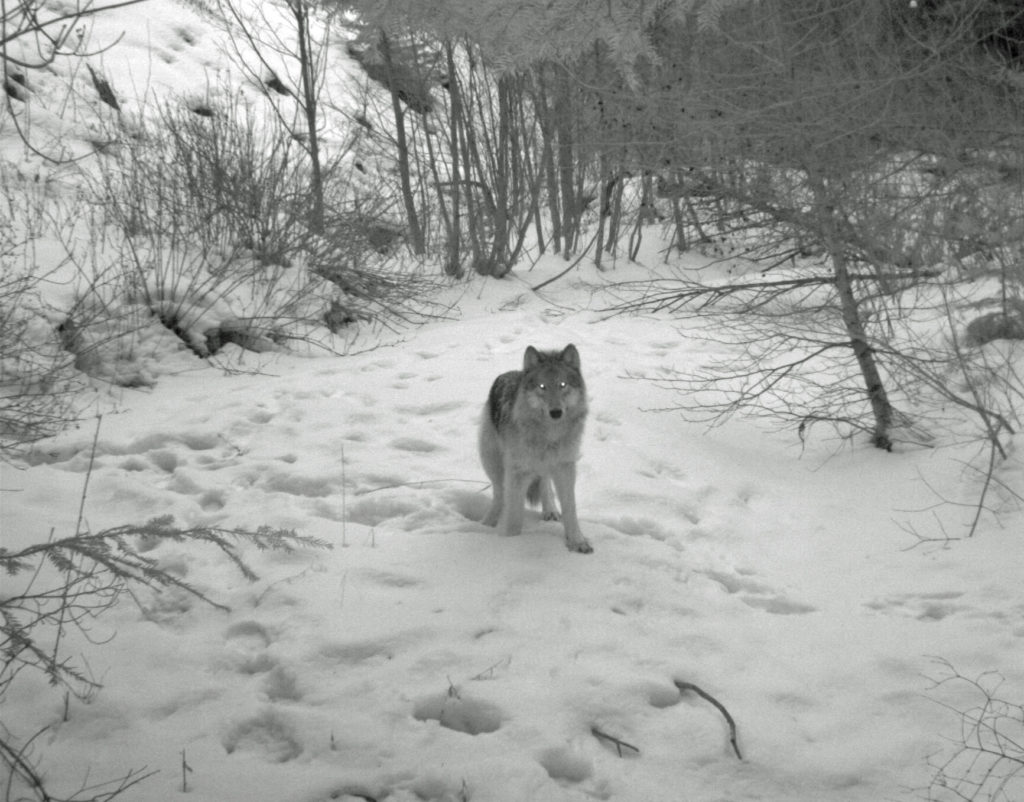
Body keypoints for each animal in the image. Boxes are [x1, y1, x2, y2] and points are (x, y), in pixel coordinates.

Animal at [478, 344, 592, 554]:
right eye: (542, 387)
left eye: (563, 385)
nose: (556, 412)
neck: (548, 436)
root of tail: (509, 373)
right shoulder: (518, 473)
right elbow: (514, 517)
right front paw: (510, 543)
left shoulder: (565, 468)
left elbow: (570, 510)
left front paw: (577, 542)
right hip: (493, 464)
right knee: (499, 494)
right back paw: (488, 522)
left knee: (544, 482)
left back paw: (551, 510)